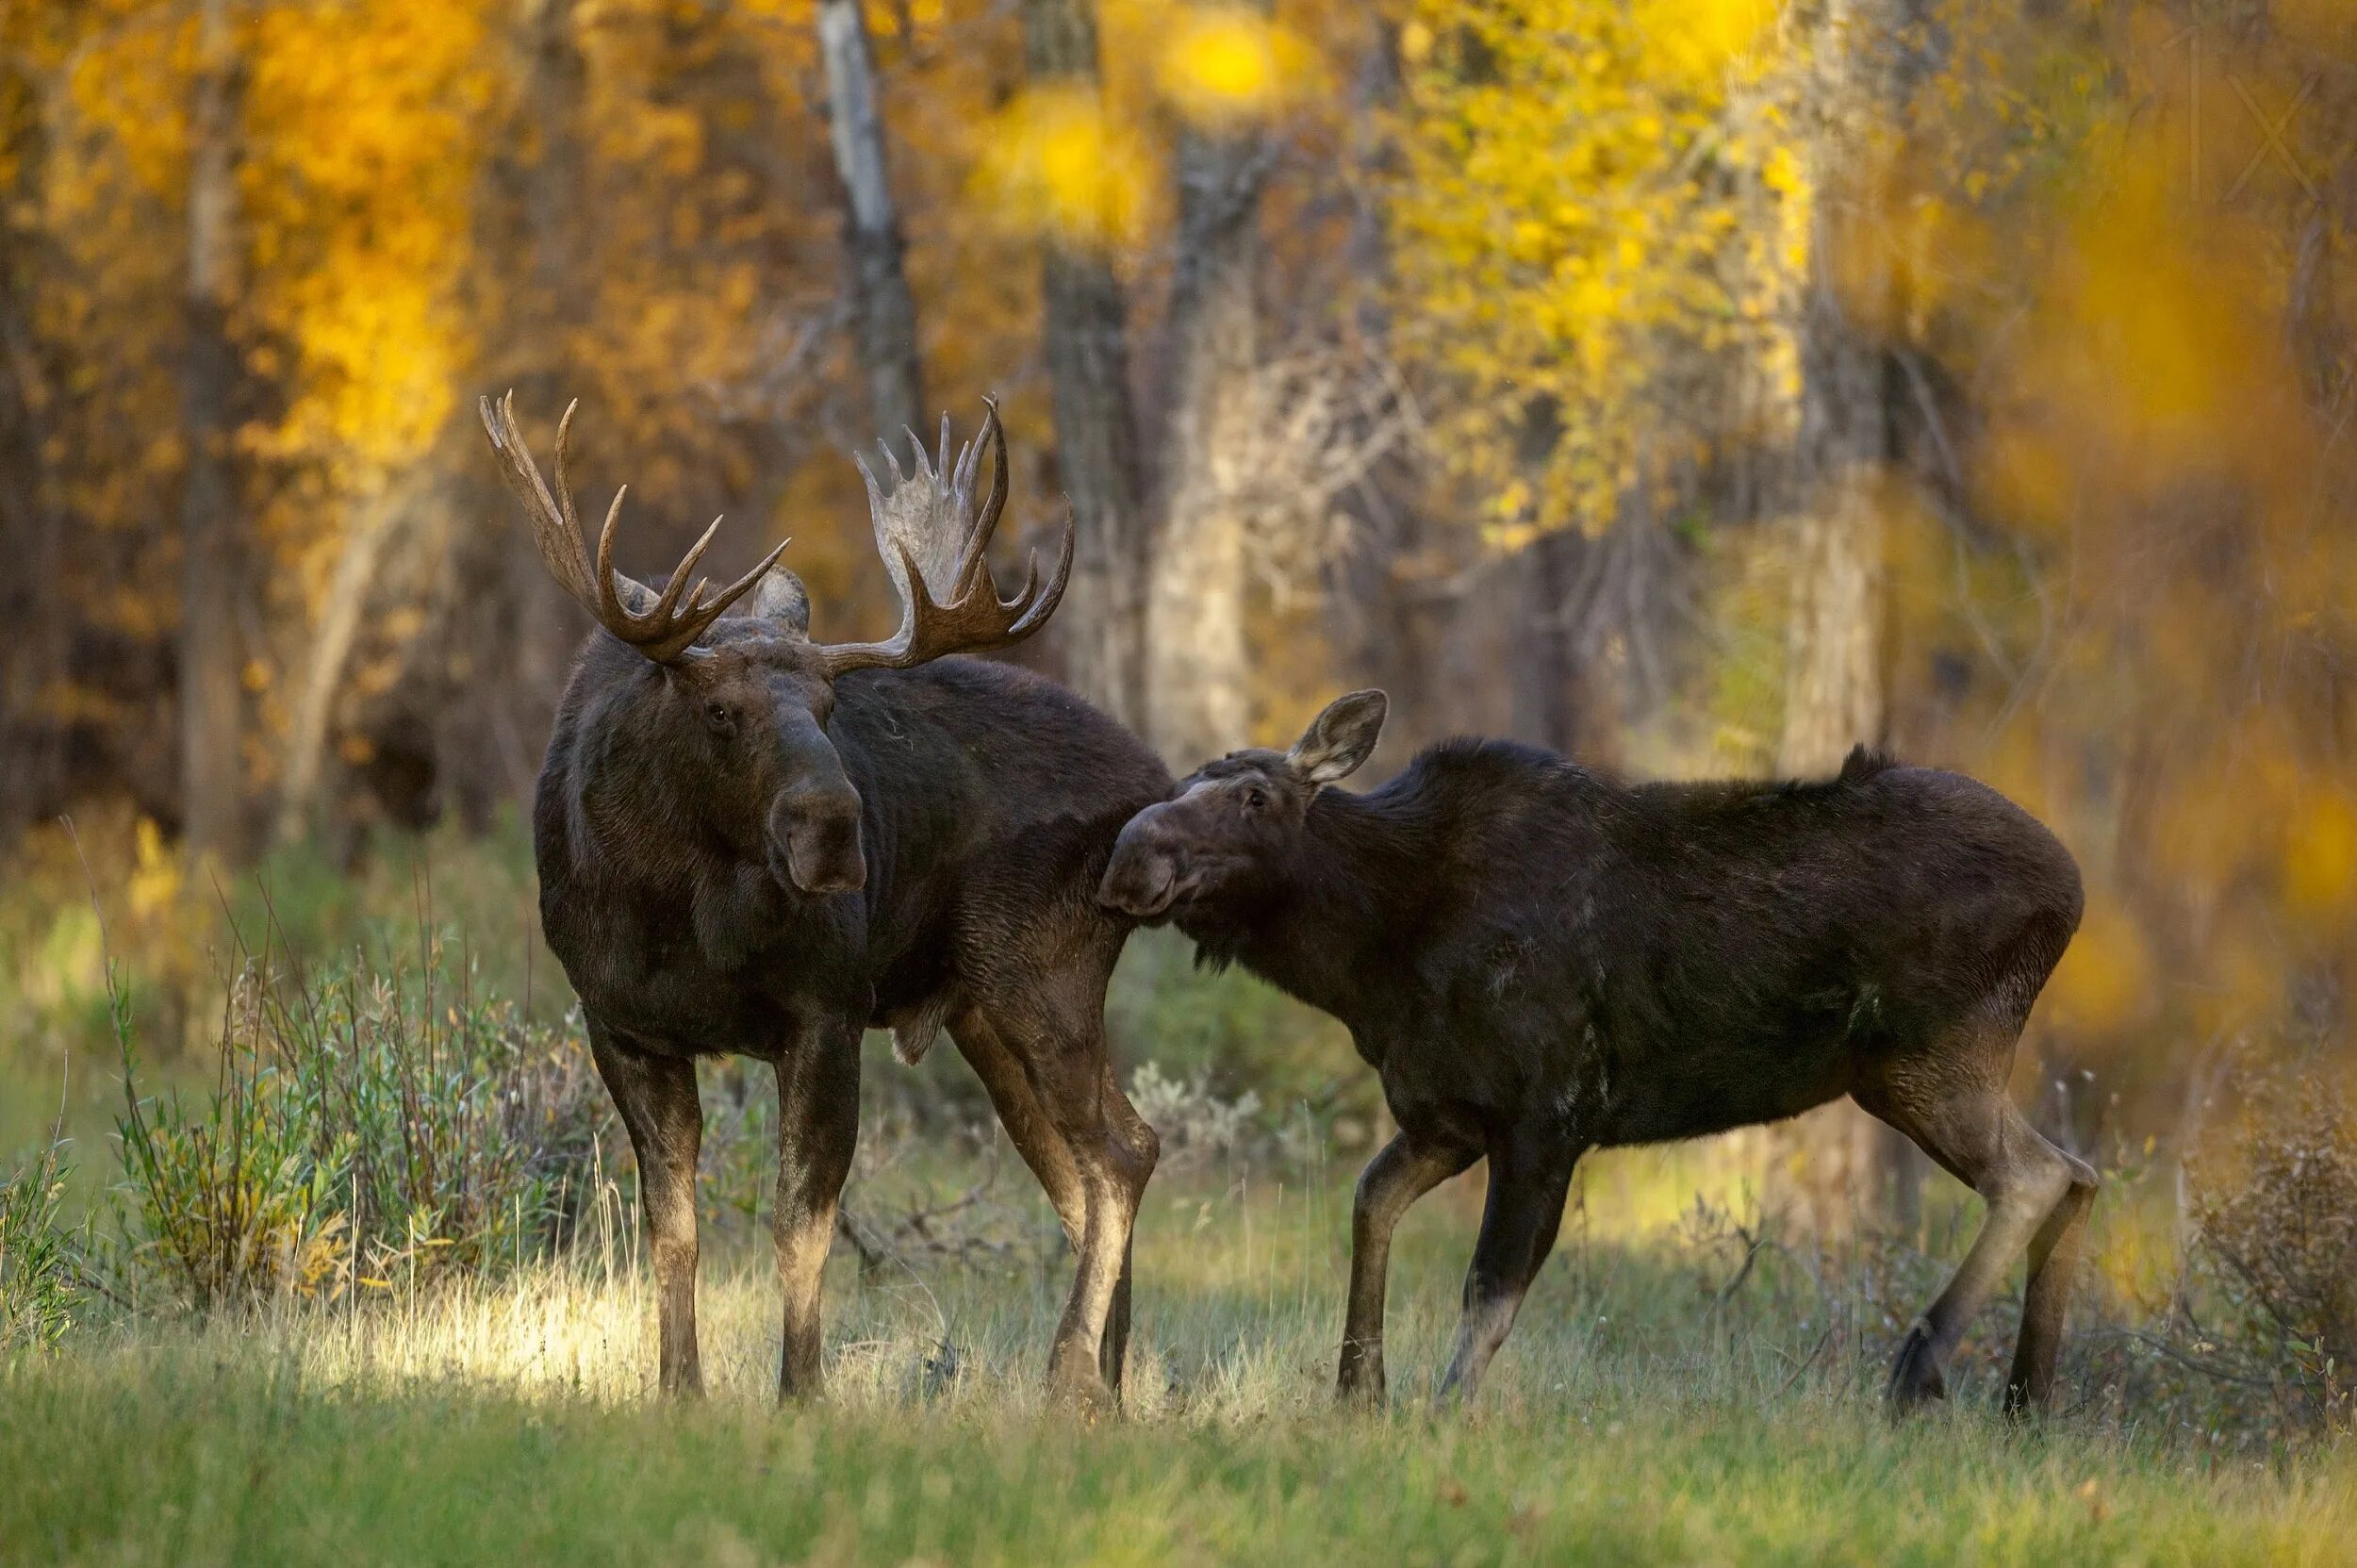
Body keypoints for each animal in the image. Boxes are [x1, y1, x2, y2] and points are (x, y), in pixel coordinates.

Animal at [486, 393, 1169, 1405]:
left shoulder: (827, 1011)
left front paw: (800, 1395)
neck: (675, 904)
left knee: (1125, 1153)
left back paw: (1073, 1378)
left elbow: (800, 1227)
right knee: (1083, 1179)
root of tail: (1155, 788)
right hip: (985, 1015)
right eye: (719, 711)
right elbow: (674, 1231)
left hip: (1043, 977)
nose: (836, 829)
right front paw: (678, 1390)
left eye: (828, 705)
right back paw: (1107, 1390)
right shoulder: (623, 1024)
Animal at [1103, 693, 2102, 1414]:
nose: (1129, 855)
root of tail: (2075, 890)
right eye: (1186, 777)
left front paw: (1442, 1410)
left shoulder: (1549, 1114)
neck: (1375, 954)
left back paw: (1920, 1371)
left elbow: (1490, 1286)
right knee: (2081, 1171)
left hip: (1926, 1056)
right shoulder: (1445, 1115)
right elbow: (1369, 1204)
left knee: (2036, 1174)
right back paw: (2026, 1400)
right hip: (1924, 1070)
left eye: (1255, 795)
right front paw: (1360, 1390)